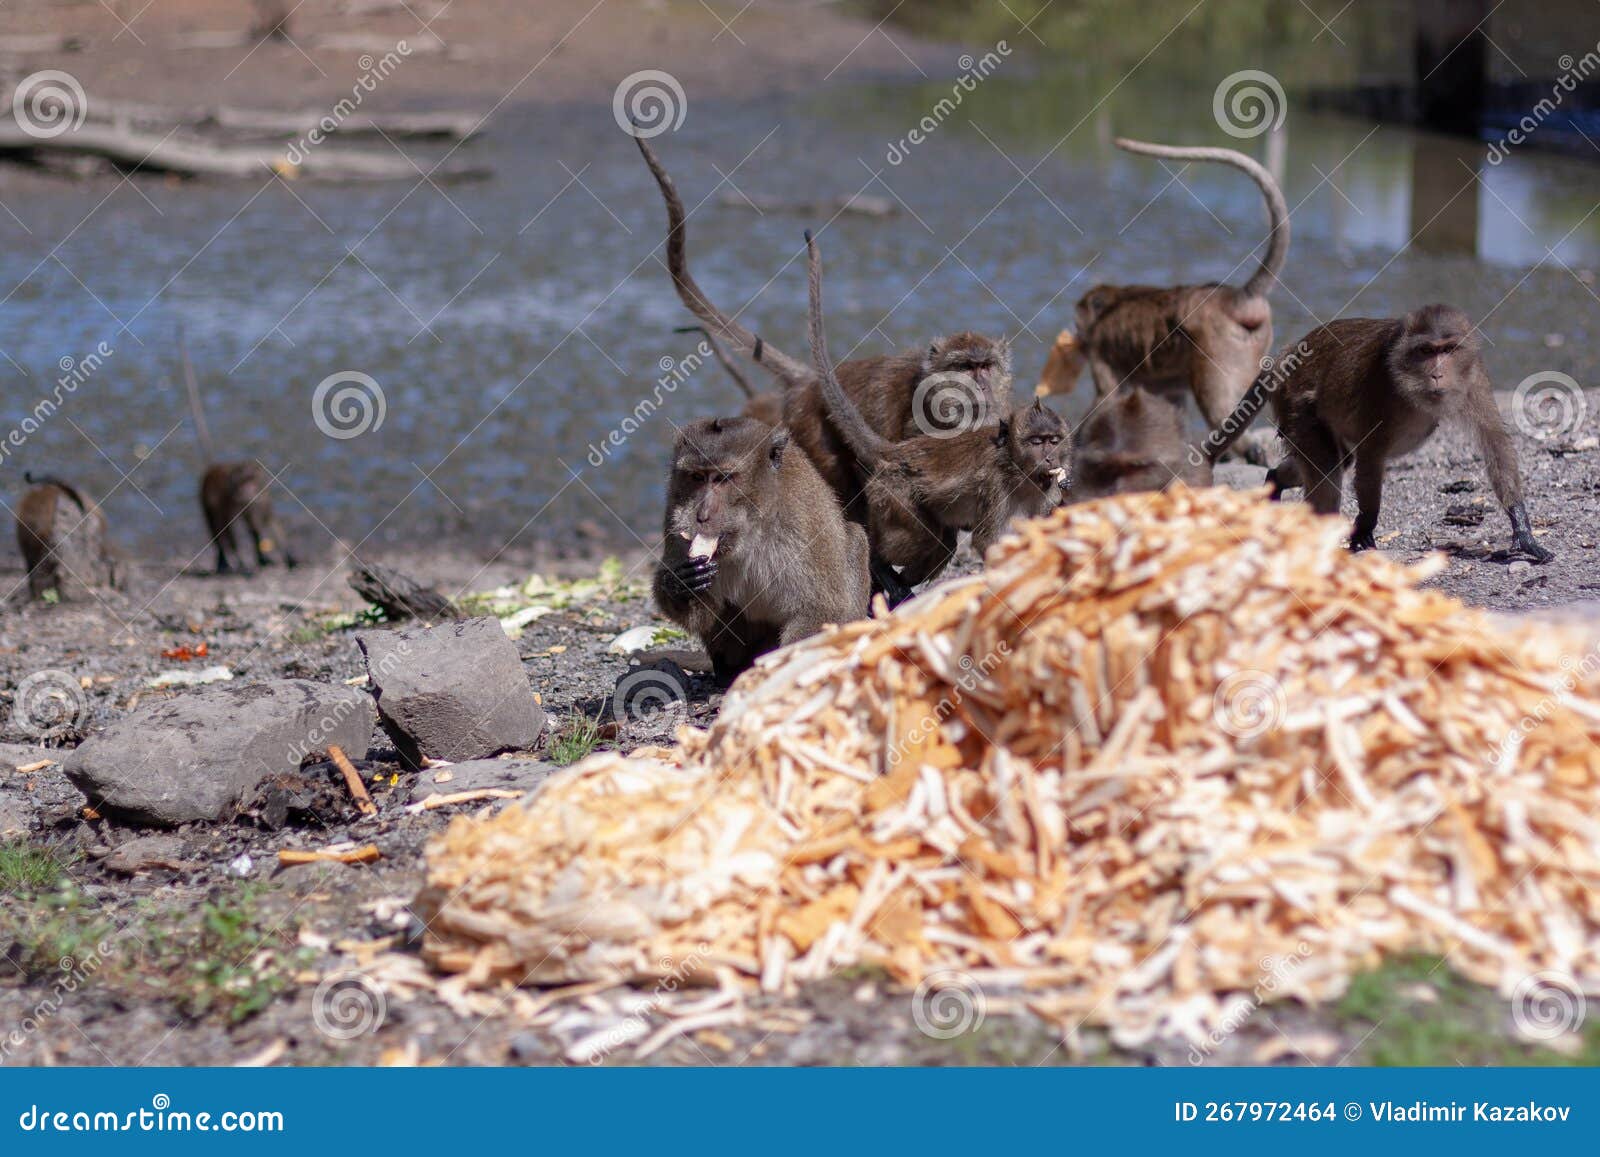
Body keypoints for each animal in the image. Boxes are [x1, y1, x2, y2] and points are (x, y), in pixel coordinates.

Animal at [180, 331, 297, 575]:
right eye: (241, 481)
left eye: (251, 480)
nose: (246, 491)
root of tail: (212, 467)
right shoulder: (229, 498)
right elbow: (228, 529)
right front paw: (242, 563)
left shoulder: (262, 496)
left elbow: (269, 521)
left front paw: (287, 554)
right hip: (205, 497)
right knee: (218, 530)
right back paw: (225, 561)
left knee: (251, 528)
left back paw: (258, 557)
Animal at [653, 415, 870, 684]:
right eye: (697, 477)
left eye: (722, 479)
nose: (701, 515)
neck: (754, 523)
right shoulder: (675, 511)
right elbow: (703, 614)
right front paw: (682, 583)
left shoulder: (801, 518)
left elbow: (823, 607)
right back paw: (729, 669)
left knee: (855, 538)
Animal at [806, 231, 1070, 580]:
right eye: (1037, 442)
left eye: (1053, 441)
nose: (1050, 457)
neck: (1017, 467)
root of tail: (897, 453)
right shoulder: (996, 486)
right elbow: (988, 541)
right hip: (894, 493)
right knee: (917, 539)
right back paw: (877, 562)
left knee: (939, 541)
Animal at [1037, 138, 1289, 437]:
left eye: (1079, 325)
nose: (1077, 336)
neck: (1110, 302)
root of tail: (1236, 297)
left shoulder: (1100, 349)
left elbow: (1107, 399)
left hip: (1218, 347)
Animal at [1202, 305, 1553, 562]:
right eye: (1426, 351)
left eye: (1449, 349)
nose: (1438, 374)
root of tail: (1285, 355)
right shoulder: (1380, 385)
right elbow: (1371, 456)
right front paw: (1365, 526)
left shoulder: (1474, 374)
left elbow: (1494, 440)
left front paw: (1522, 528)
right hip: (1295, 403)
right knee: (1328, 469)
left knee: (1335, 462)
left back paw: (1273, 481)